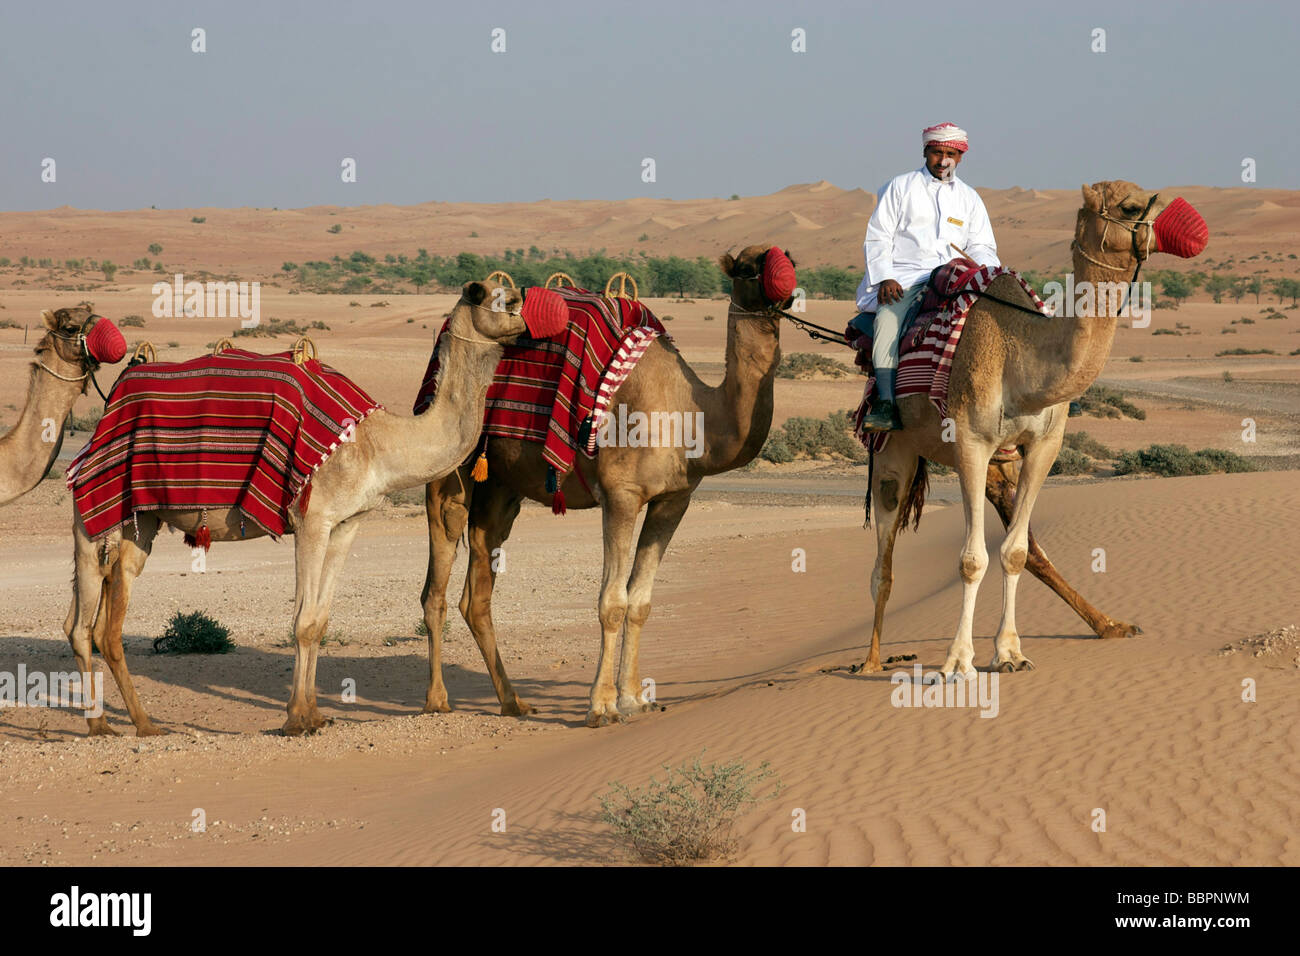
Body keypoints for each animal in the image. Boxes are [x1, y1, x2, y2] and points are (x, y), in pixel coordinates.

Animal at [65, 281, 535, 736]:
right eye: (505, 300)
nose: (531, 324)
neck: (378, 444)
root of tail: (107, 411)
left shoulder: (346, 524)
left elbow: (319, 619)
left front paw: (314, 715)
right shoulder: (311, 520)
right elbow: (303, 620)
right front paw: (295, 719)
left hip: (140, 520)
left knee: (97, 617)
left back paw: (120, 722)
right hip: (95, 510)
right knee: (89, 623)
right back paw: (123, 725)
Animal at [860, 181, 1207, 680]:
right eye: (1129, 207)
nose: (1197, 231)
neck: (1021, 354)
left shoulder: (1043, 446)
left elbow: (1016, 552)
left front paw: (1008, 653)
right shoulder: (970, 442)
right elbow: (971, 560)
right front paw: (956, 661)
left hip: (997, 465)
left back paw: (1110, 625)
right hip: (894, 449)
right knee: (883, 562)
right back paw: (870, 662)